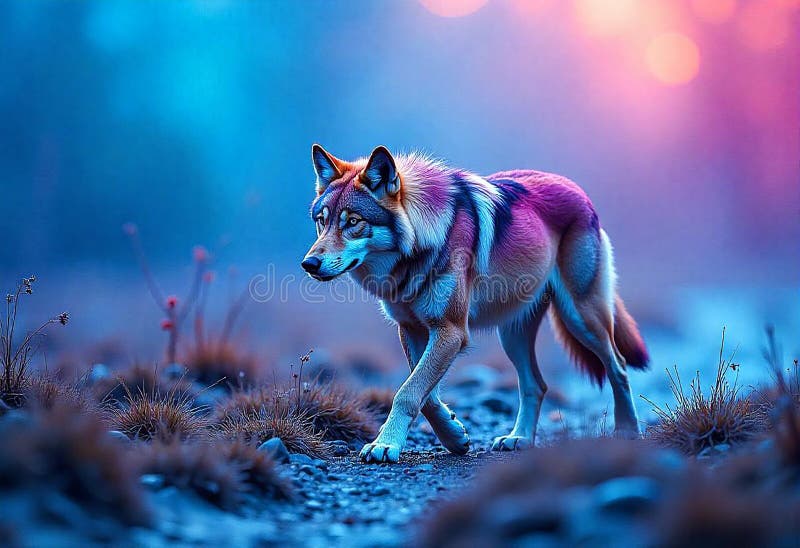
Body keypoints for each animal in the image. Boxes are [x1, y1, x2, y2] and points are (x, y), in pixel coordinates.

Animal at [302, 144, 649, 463]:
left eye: (353, 221)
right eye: (321, 221)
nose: (309, 263)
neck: (422, 245)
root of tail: (578, 191)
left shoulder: (451, 332)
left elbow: (407, 394)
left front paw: (385, 445)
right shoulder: (412, 330)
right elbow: (425, 395)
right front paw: (455, 437)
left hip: (581, 318)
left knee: (618, 367)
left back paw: (627, 431)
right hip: (512, 336)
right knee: (536, 385)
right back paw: (519, 438)